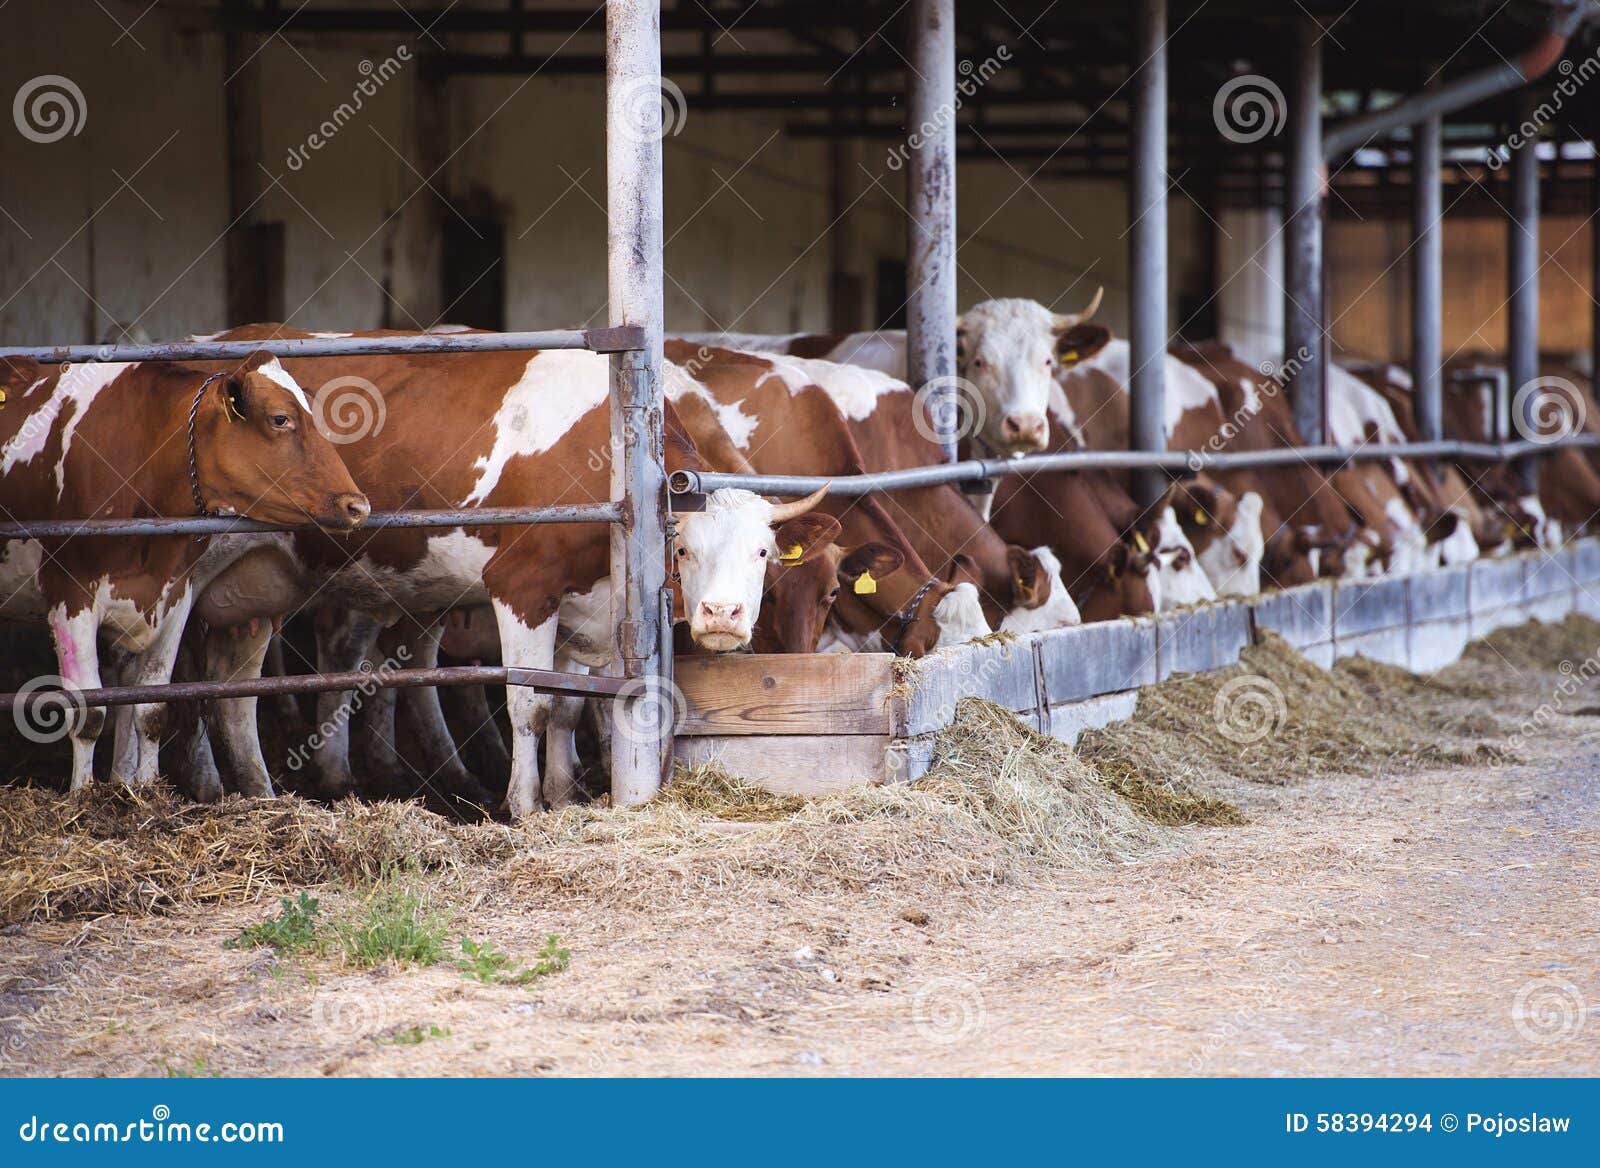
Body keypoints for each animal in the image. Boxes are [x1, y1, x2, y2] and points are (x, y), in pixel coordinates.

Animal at [0, 353, 369, 793]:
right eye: (280, 419)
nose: (357, 506)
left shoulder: (175, 596)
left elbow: (152, 708)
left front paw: (147, 789)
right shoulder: (69, 598)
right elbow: (89, 713)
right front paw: (81, 796)